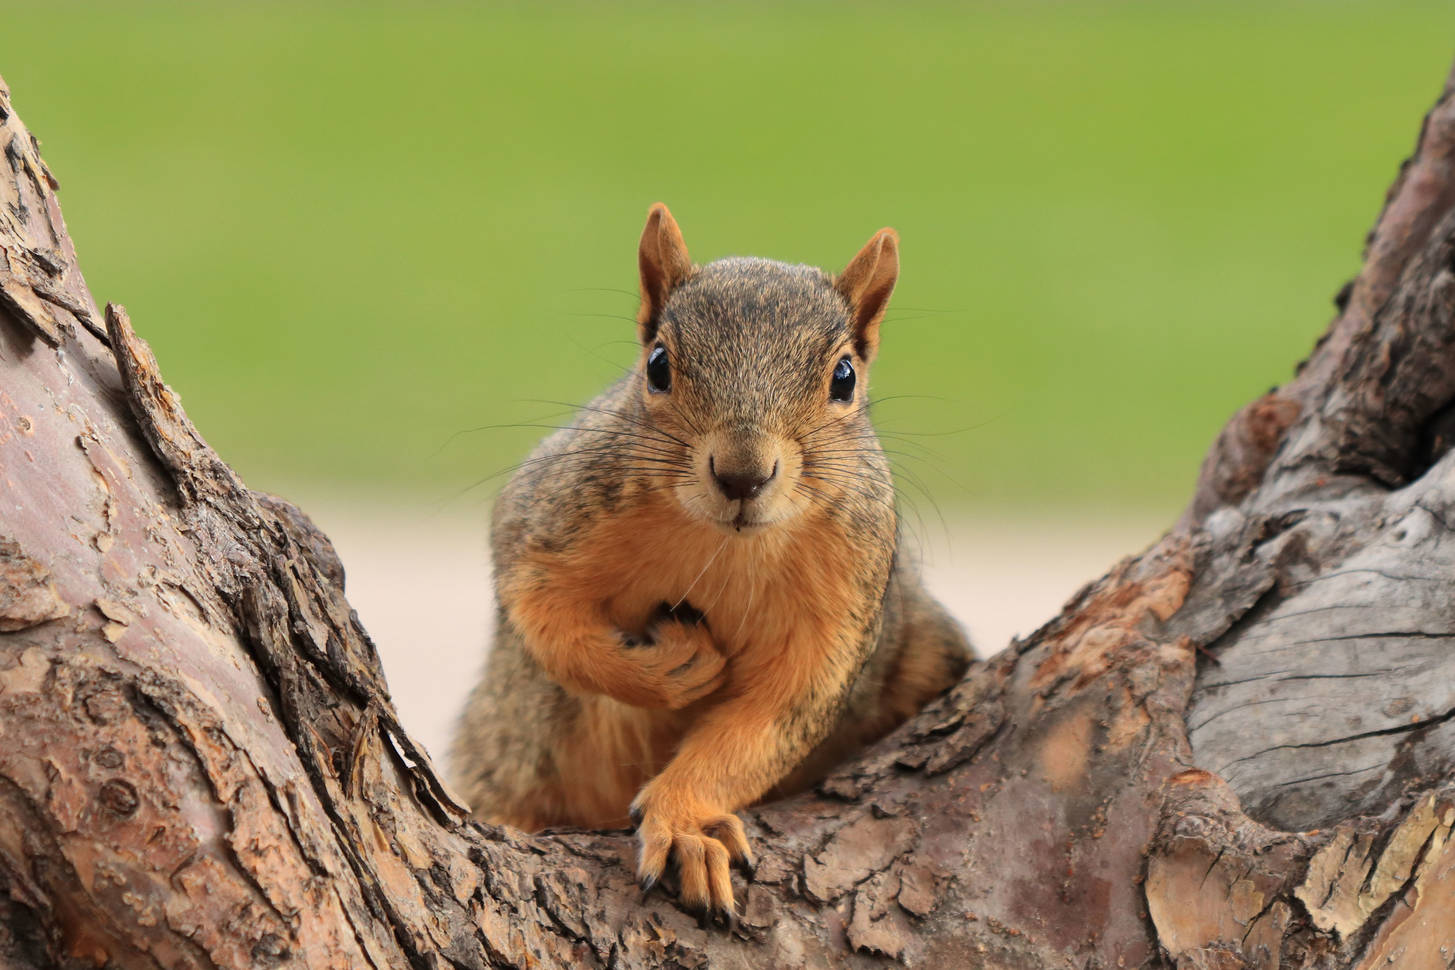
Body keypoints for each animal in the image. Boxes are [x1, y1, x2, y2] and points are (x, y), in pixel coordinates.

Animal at [449, 203, 971, 921]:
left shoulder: (843, 605)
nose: (742, 476)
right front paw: (668, 669)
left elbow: (766, 724)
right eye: (657, 366)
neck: (724, 546)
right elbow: (544, 621)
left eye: (844, 379)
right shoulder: (547, 518)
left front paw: (685, 822)